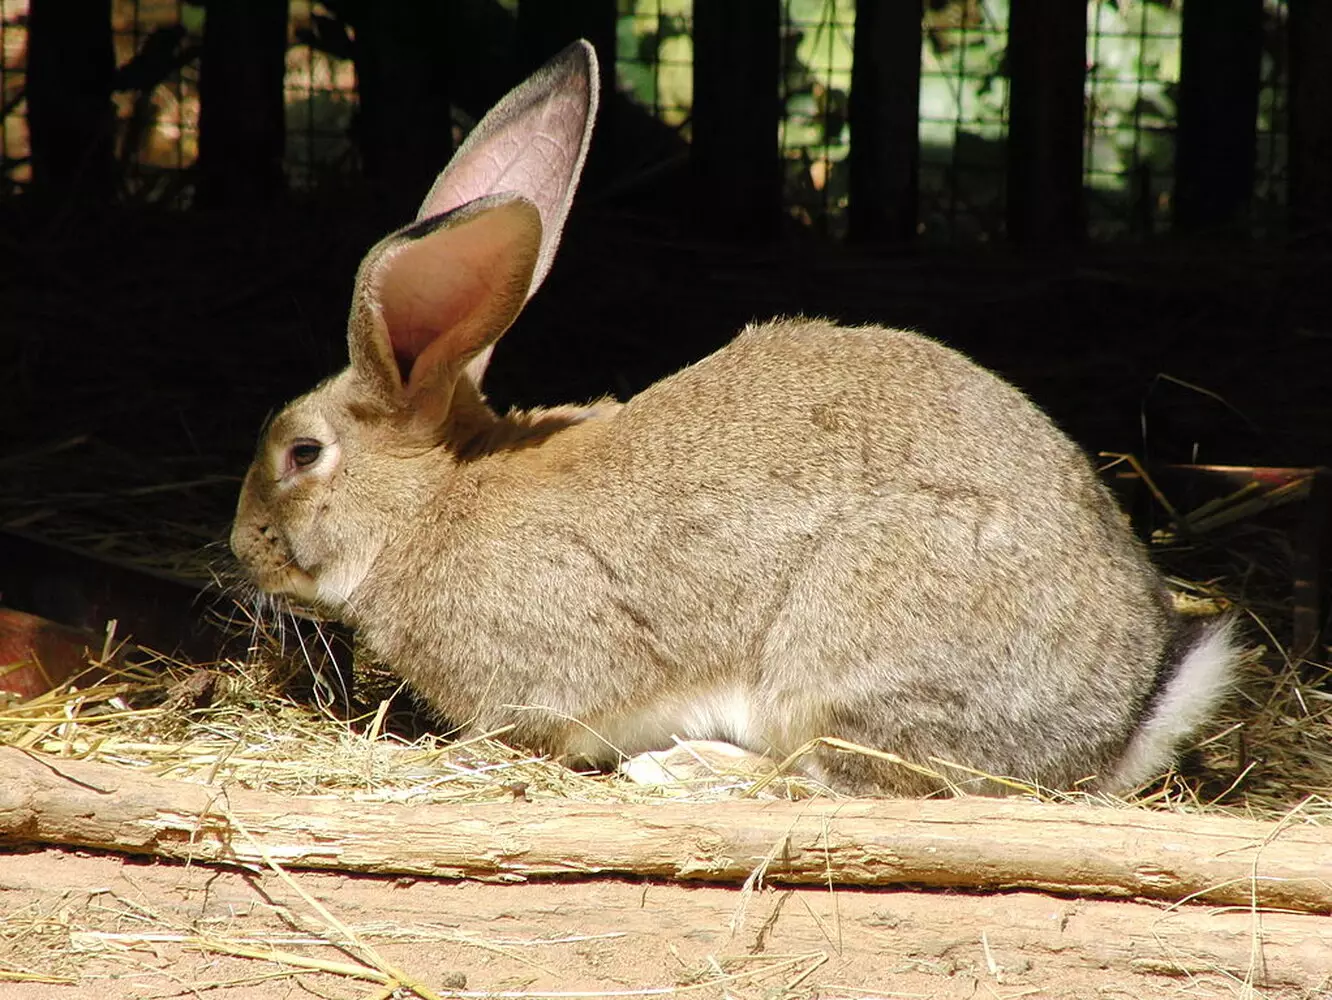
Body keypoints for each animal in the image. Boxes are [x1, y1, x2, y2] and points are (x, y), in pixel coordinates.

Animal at [231, 41, 1236, 798]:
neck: (427, 504)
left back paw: (688, 768)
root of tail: (1119, 728)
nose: (242, 547)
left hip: (848, 652)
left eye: (302, 453)